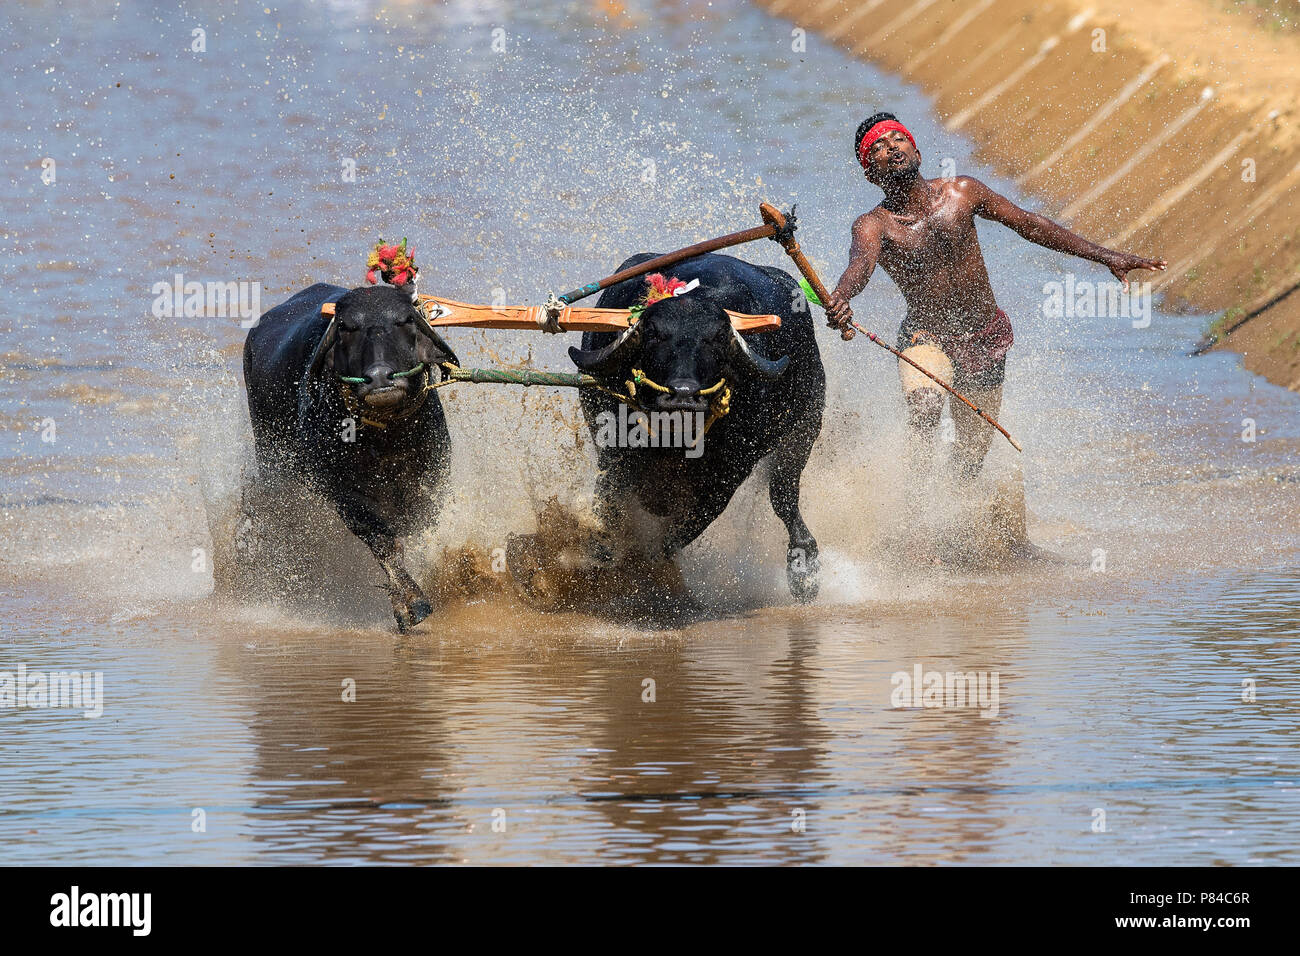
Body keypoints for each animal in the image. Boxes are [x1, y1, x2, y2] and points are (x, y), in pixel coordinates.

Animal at [241, 280, 458, 630]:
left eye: (404, 320)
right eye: (346, 327)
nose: (380, 377)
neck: (385, 439)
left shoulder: (432, 482)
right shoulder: (344, 495)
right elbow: (385, 543)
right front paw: (410, 603)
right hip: (273, 465)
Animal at [568, 252, 826, 602]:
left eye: (716, 338)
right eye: (653, 333)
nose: (683, 394)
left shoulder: (727, 476)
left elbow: (681, 533)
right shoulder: (614, 446)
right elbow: (609, 503)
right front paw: (599, 550)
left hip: (806, 425)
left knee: (784, 496)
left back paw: (804, 570)